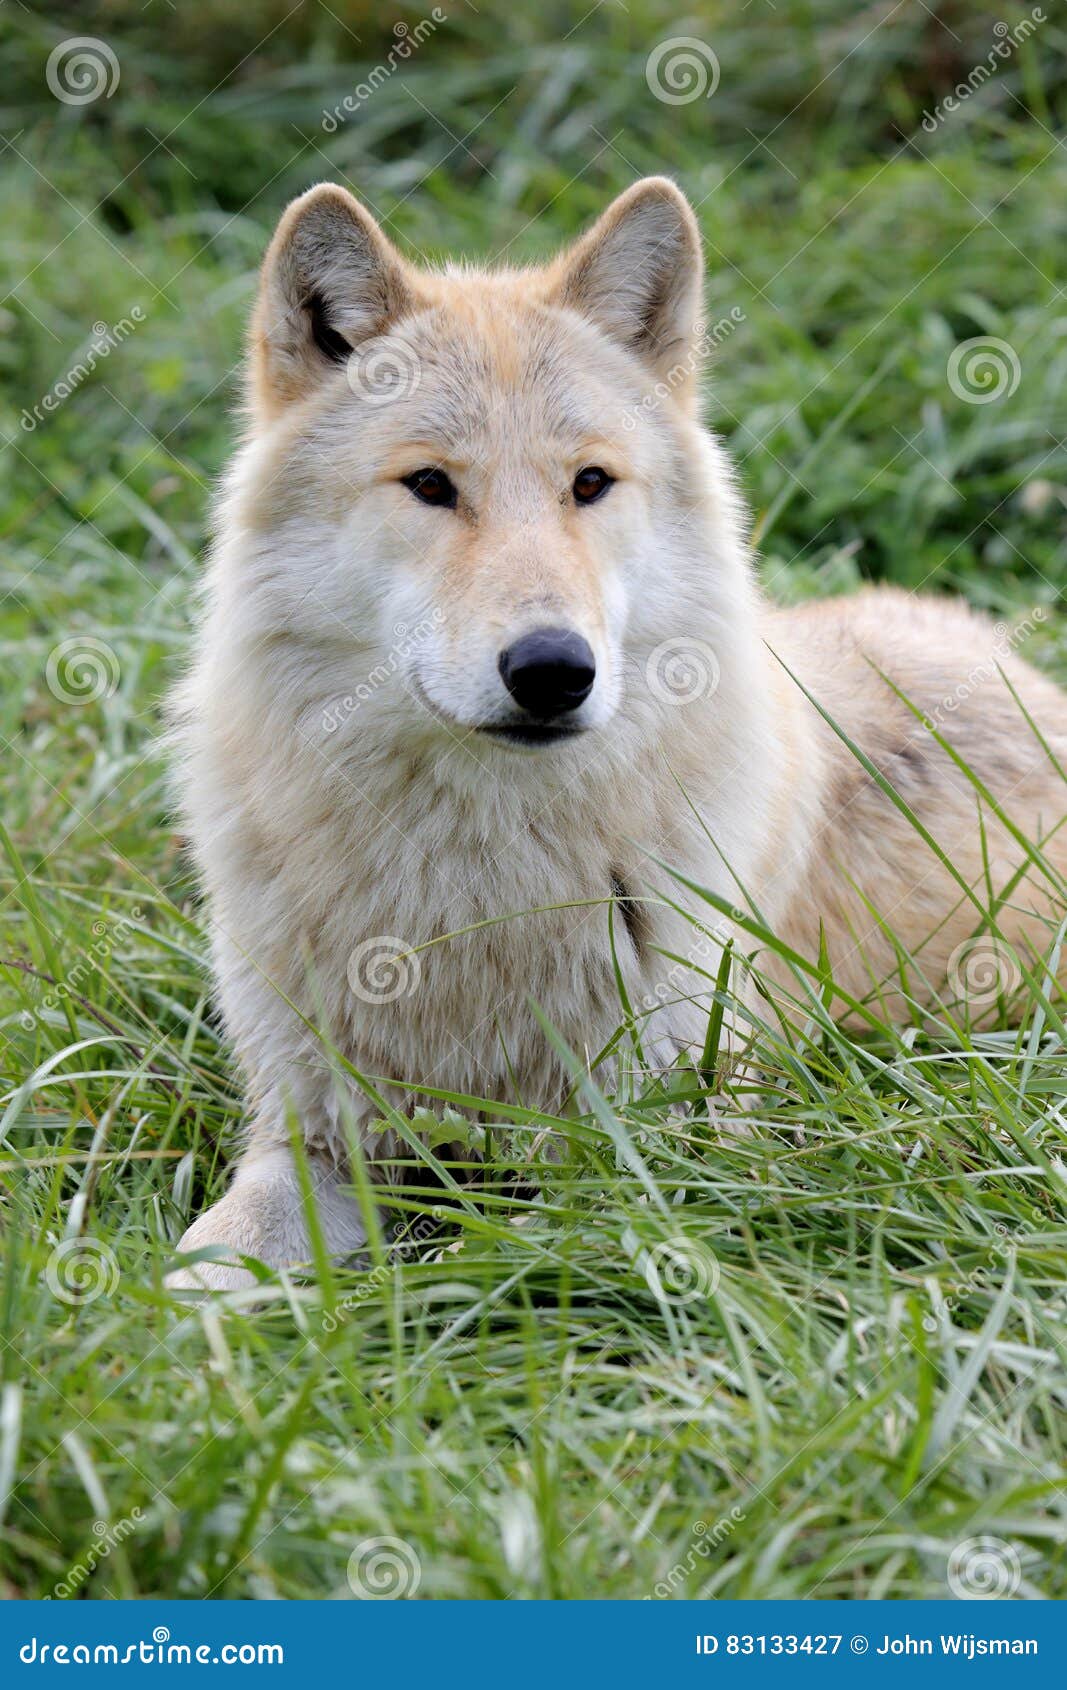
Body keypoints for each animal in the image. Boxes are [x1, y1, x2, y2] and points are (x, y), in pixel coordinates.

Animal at [166, 177, 1067, 1290]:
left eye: (588, 483)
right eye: (430, 485)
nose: (552, 669)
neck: (481, 883)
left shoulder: (662, 1152)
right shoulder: (313, 1139)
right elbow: (197, 1268)